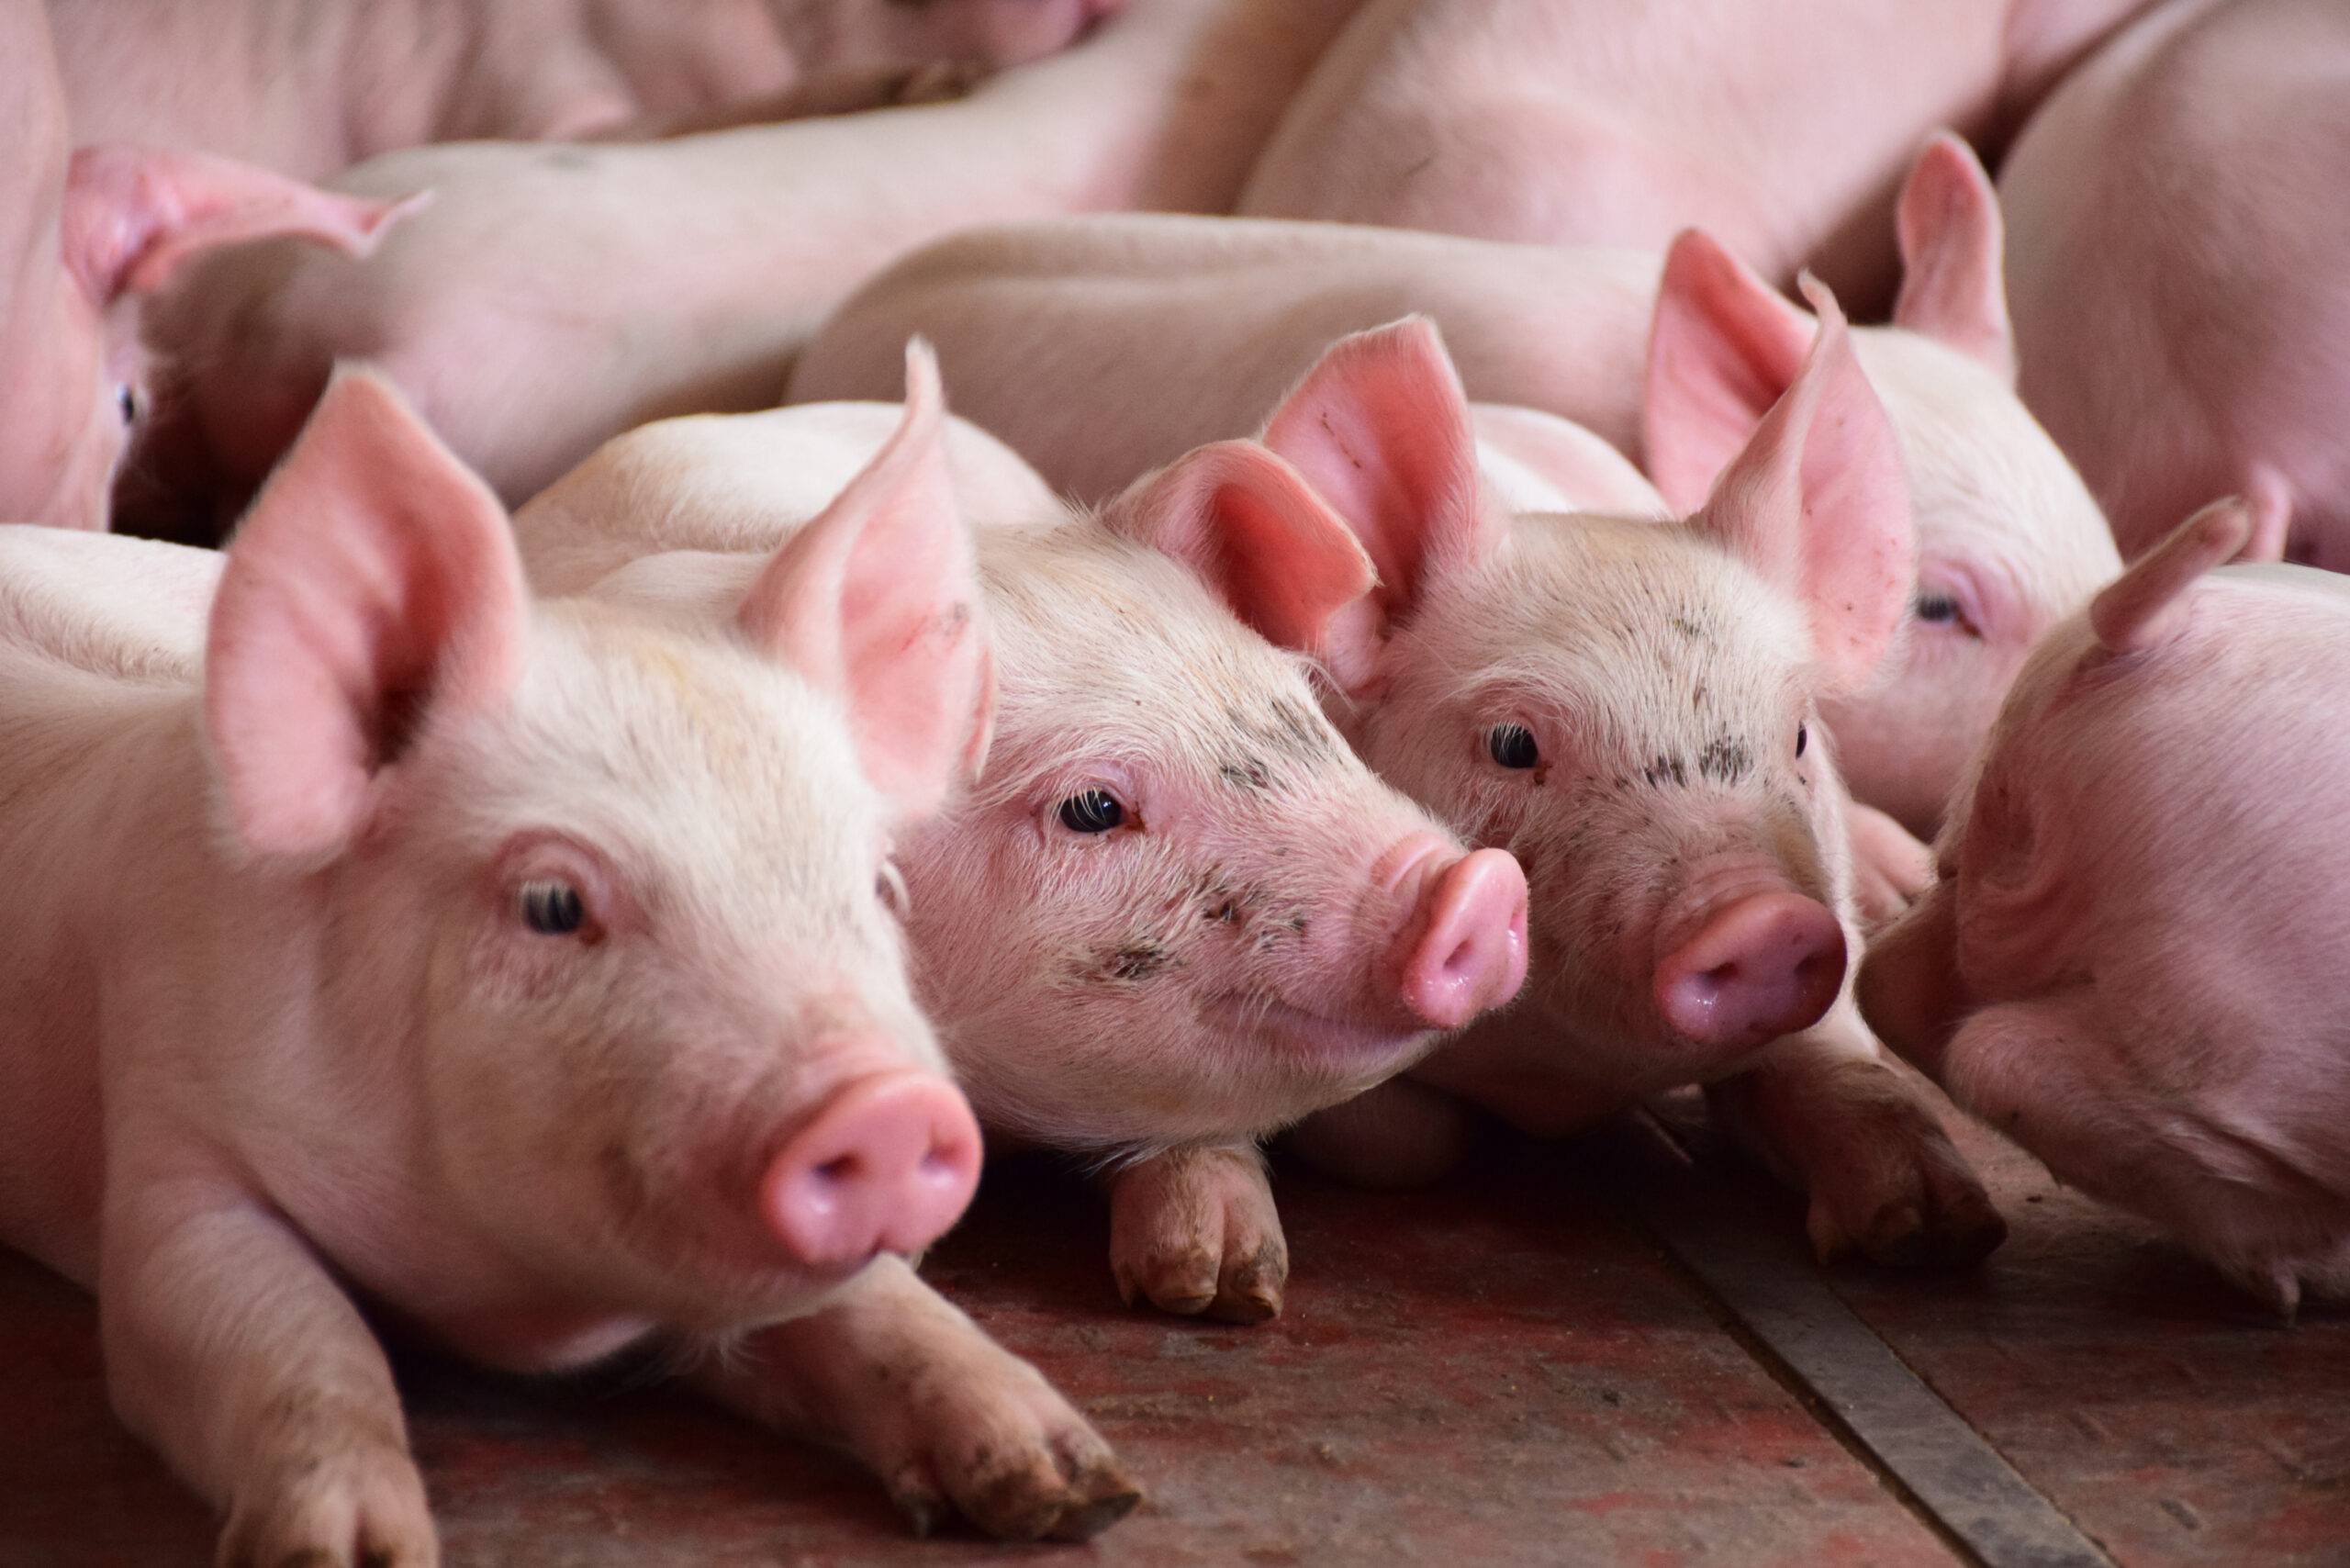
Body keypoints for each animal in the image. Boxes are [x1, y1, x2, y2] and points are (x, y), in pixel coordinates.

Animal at [0, 365, 1143, 1559]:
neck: (507, 1301)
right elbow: (276, 1334)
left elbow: (869, 1306)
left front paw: (1074, 1489)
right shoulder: (170, 1121)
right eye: (553, 903)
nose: (883, 1108)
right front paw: (349, 1548)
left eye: (879, 883)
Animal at [1269, 299, 2005, 1266]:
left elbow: (1843, 1063)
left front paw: (1934, 1231)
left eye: (1799, 736)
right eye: (1513, 744)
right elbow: (1393, 1136)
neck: (1565, 1089)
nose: (1763, 918)